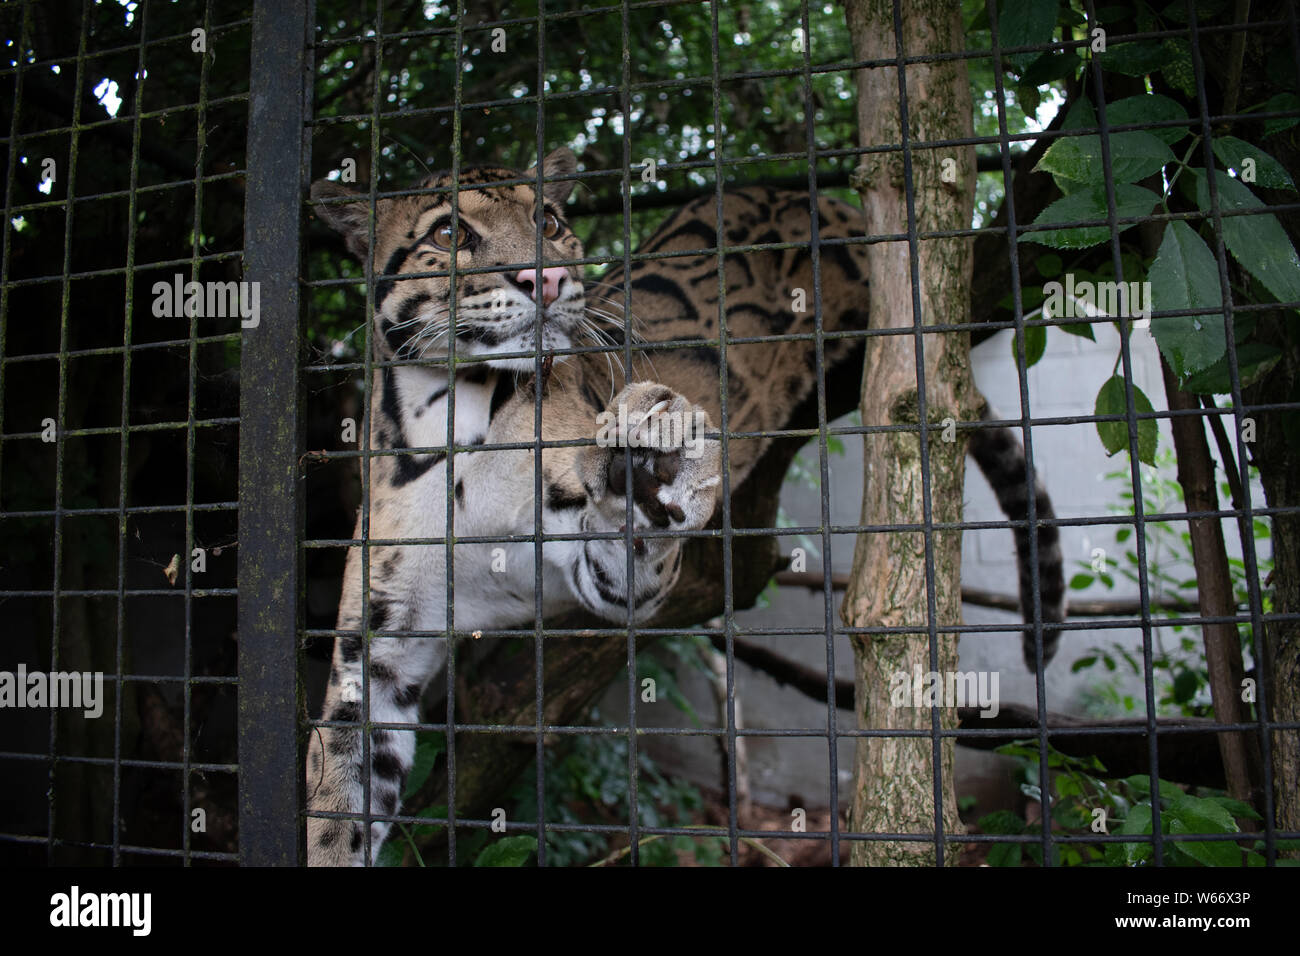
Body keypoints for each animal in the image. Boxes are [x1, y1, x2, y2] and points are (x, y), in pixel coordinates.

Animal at [305, 147, 1065, 866]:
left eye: (547, 221)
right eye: (449, 232)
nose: (544, 279)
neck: (450, 414)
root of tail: (814, 196)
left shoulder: (599, 565)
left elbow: (627, 545)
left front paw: (652, 464)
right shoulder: (376, 647)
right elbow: (337, 801)